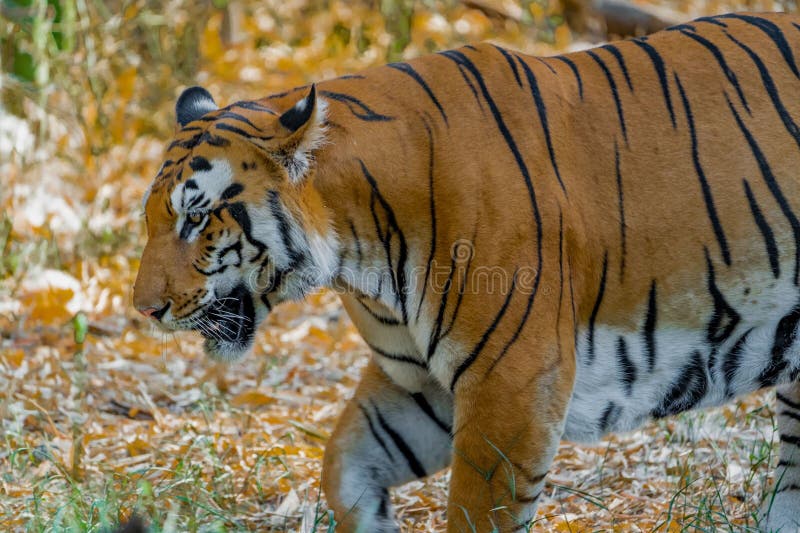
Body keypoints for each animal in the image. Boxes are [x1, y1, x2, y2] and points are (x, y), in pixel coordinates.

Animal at [133, 12, 800, 531]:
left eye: (197, 217)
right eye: (150, 218)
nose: (145, 309)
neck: (359, 261)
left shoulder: (513, 379)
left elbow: (475, 512)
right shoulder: (416, 380)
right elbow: (344, 460)